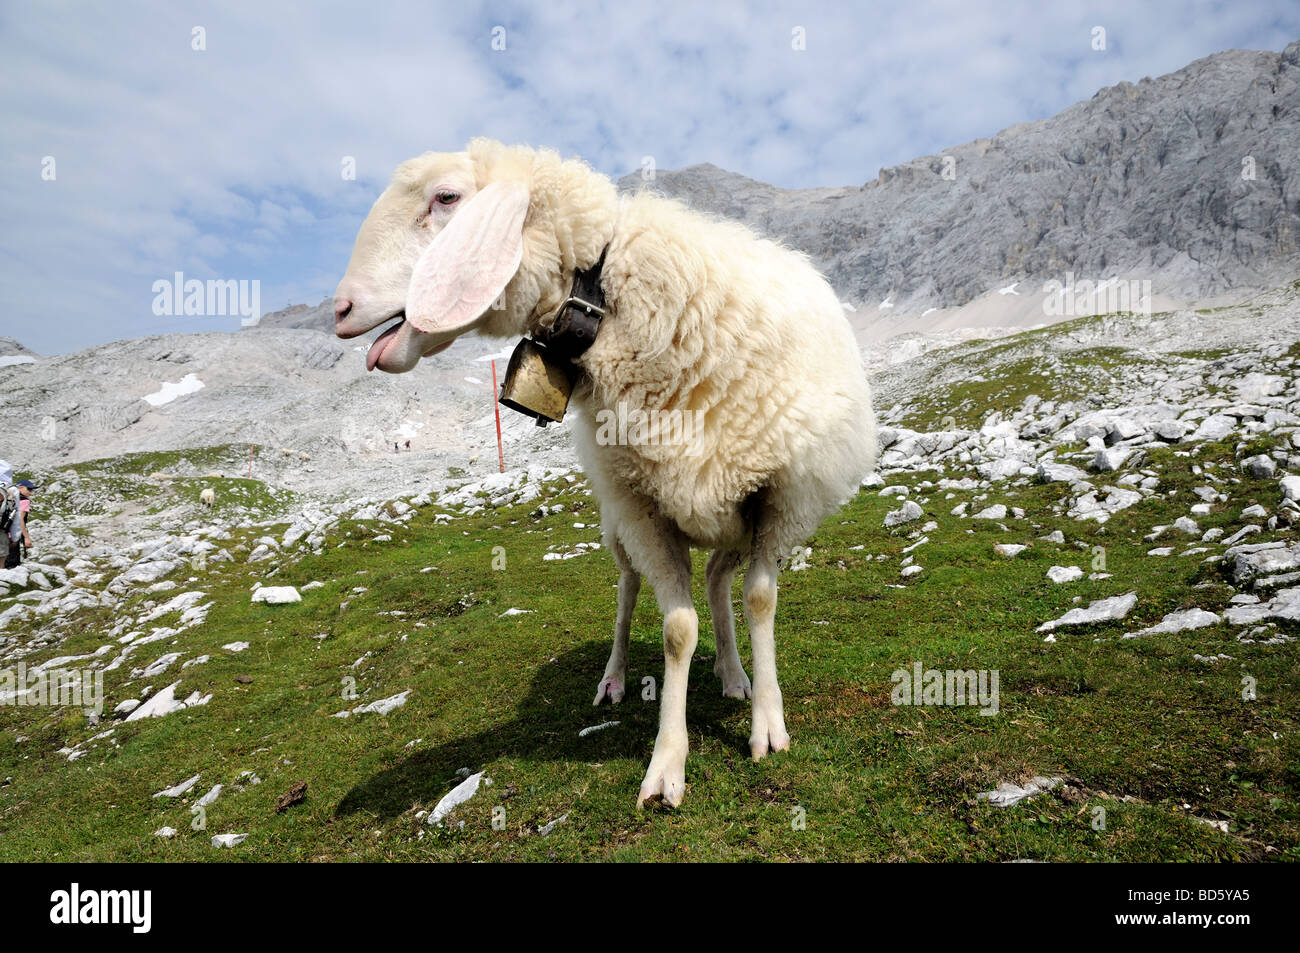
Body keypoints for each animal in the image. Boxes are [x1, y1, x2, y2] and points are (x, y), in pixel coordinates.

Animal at [334, 139, 876, 807]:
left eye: (447, 197)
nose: (341, 309)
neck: (604, 295)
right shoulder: (642, 508)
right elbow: (676, 630)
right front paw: (667, 763)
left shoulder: (778, 499)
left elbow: (757, 600)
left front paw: (768, 724)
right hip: (621, 529)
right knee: (627, 593)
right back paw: (617, 679)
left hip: (729, 519)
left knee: (718, 583)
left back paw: (732, 671)